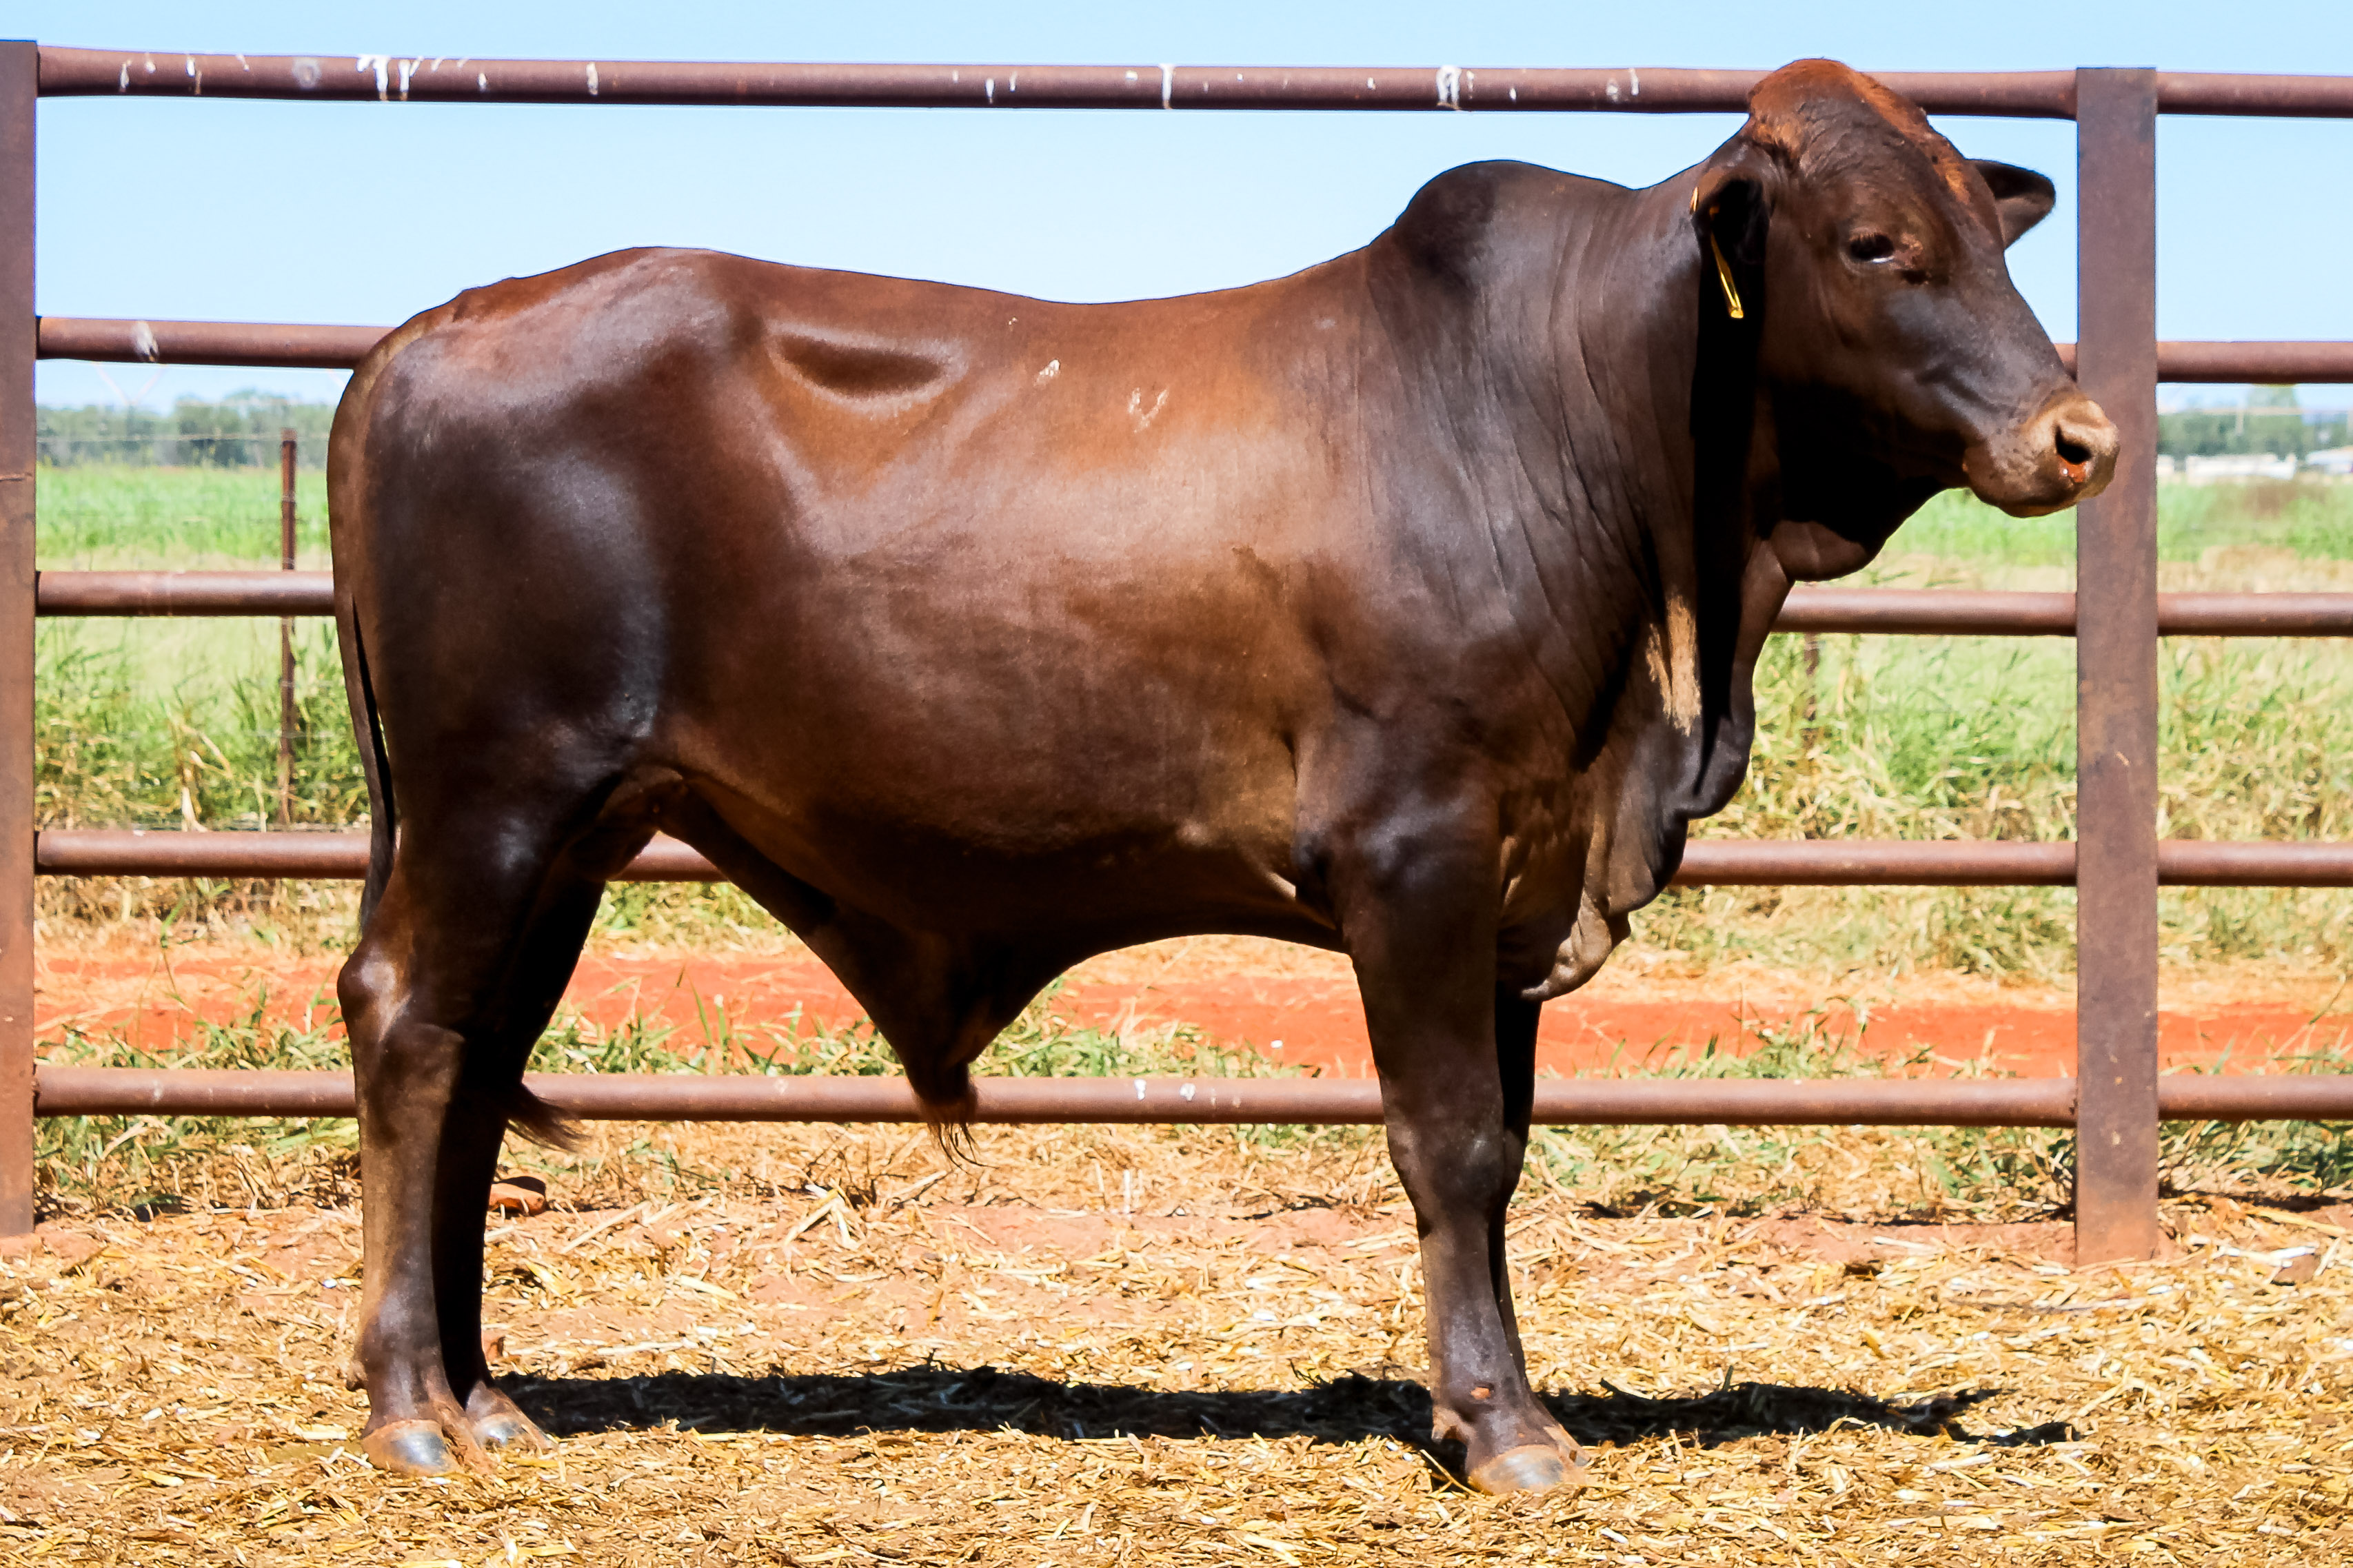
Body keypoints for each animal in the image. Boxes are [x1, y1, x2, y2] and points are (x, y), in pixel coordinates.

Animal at [326, 59, 2116, 1492]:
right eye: (1875, 244)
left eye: (1991, 229)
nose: (2076, 435)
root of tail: (421, 335)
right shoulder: (1416, 851)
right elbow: (1449, 1140)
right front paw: (1501, 1427)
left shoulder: (1521, 868)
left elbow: (1502, 1151)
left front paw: (1491, 1402)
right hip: (496, 797)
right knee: (413, 1030)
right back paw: (412, 1405)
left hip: (576, 828)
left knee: (480, 1062)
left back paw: (486, 1394)